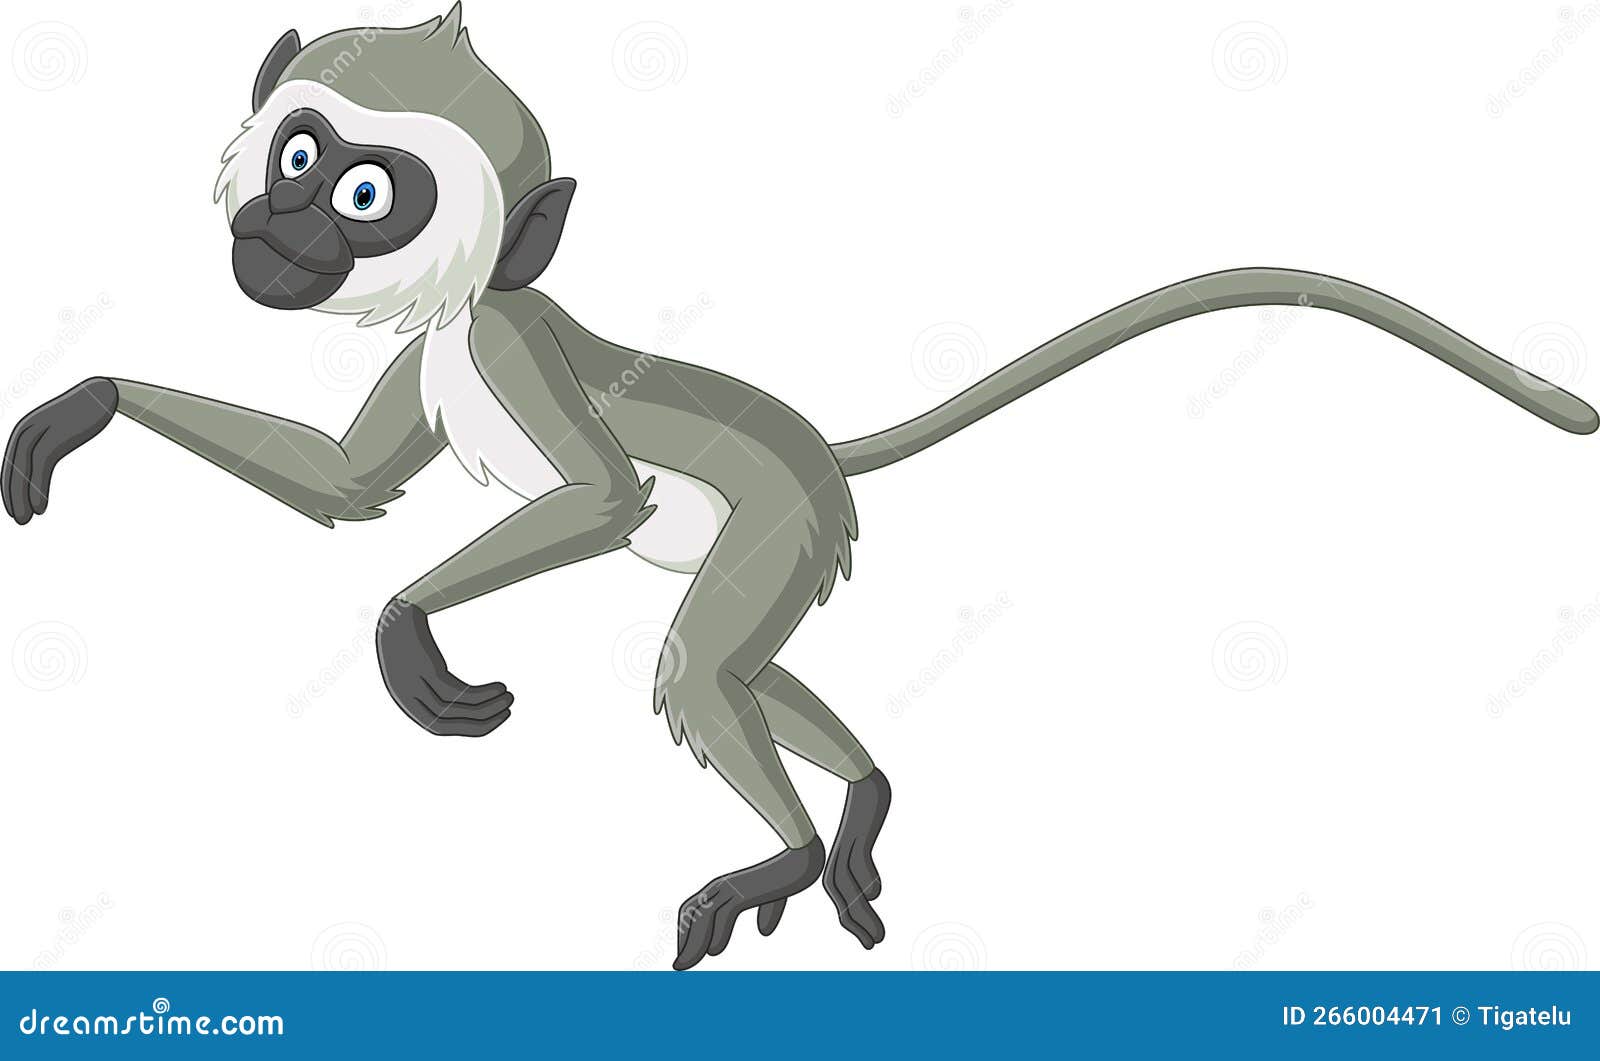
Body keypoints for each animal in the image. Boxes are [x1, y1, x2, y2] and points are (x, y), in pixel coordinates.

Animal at [4, 7, 1595, 971]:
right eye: (297, 152)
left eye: (362, 194)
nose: (280, 227)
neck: (459, 315)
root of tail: (814, 442)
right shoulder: (435, 357)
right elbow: (345, 487)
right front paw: (83, 405)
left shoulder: (507, 347)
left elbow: (593, 504)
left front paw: (408, 634)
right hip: (797, 542)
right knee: (749, 673)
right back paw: (861, 805)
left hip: (779, 520)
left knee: (701, 663)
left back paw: (779, 851)